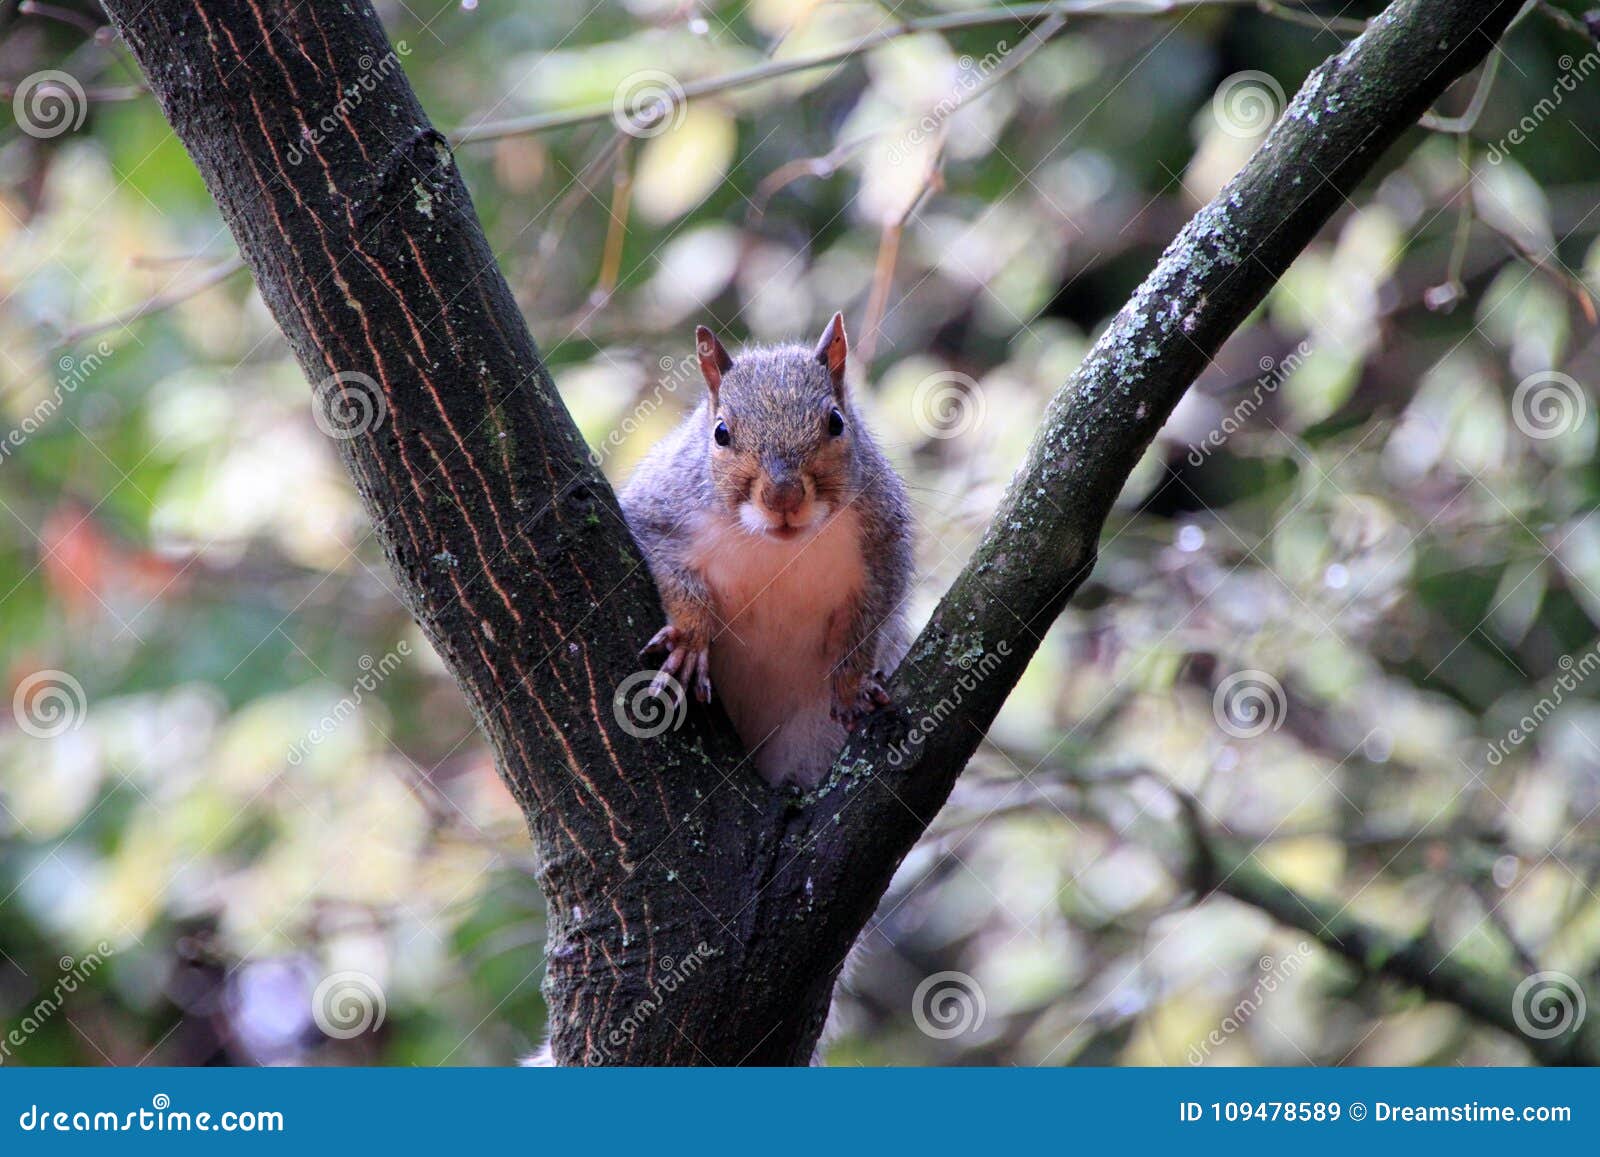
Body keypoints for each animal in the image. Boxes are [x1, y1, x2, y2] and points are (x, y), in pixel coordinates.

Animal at [620, 313, 912, 788]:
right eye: (721, 433)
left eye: (836, 422)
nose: (783, 497)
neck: (775, 548)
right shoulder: (657, 515)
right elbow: (671, 572)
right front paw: (691, 637)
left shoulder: (883, 544)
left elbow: (871, 617)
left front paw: (852, 682)